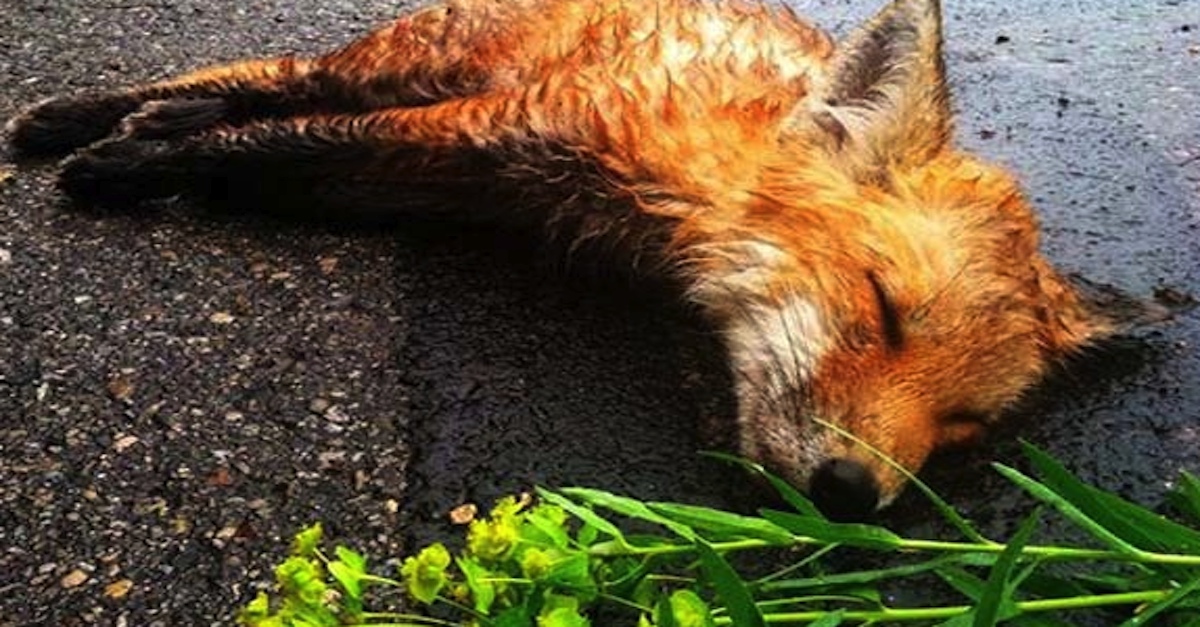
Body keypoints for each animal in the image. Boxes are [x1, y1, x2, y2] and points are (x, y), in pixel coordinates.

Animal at [4, 0, 1170, 521]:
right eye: (881, 307)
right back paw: (78, 118)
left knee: (257, 87)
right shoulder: (489, 130)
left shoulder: (441, 175)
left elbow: (272, 155)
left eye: (963, 426)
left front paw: (156, 154)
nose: (849, 493)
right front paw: (127, 163)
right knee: (274, 74)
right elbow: (266, 141)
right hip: (411, 64)